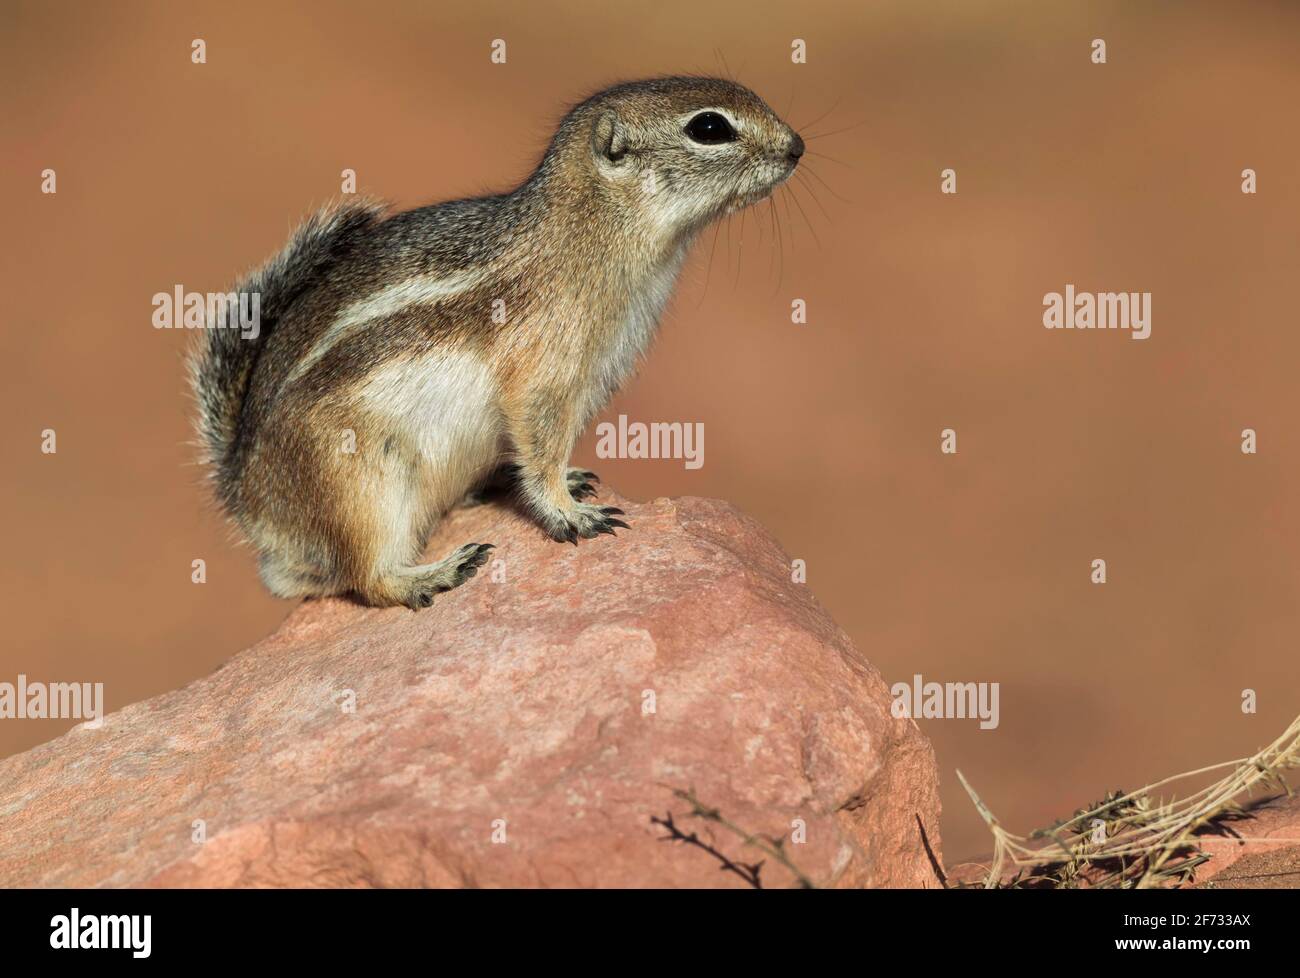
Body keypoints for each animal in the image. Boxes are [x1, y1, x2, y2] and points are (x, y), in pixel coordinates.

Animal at [189, 76, 804, 610]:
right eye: (709, 128)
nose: (797, 147)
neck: (587, 231)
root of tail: (248, 498)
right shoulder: (544, 375)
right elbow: (540, 445)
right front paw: (567, 514)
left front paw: (568, 483)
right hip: (360, 488)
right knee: (369, 578)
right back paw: (434, 574)